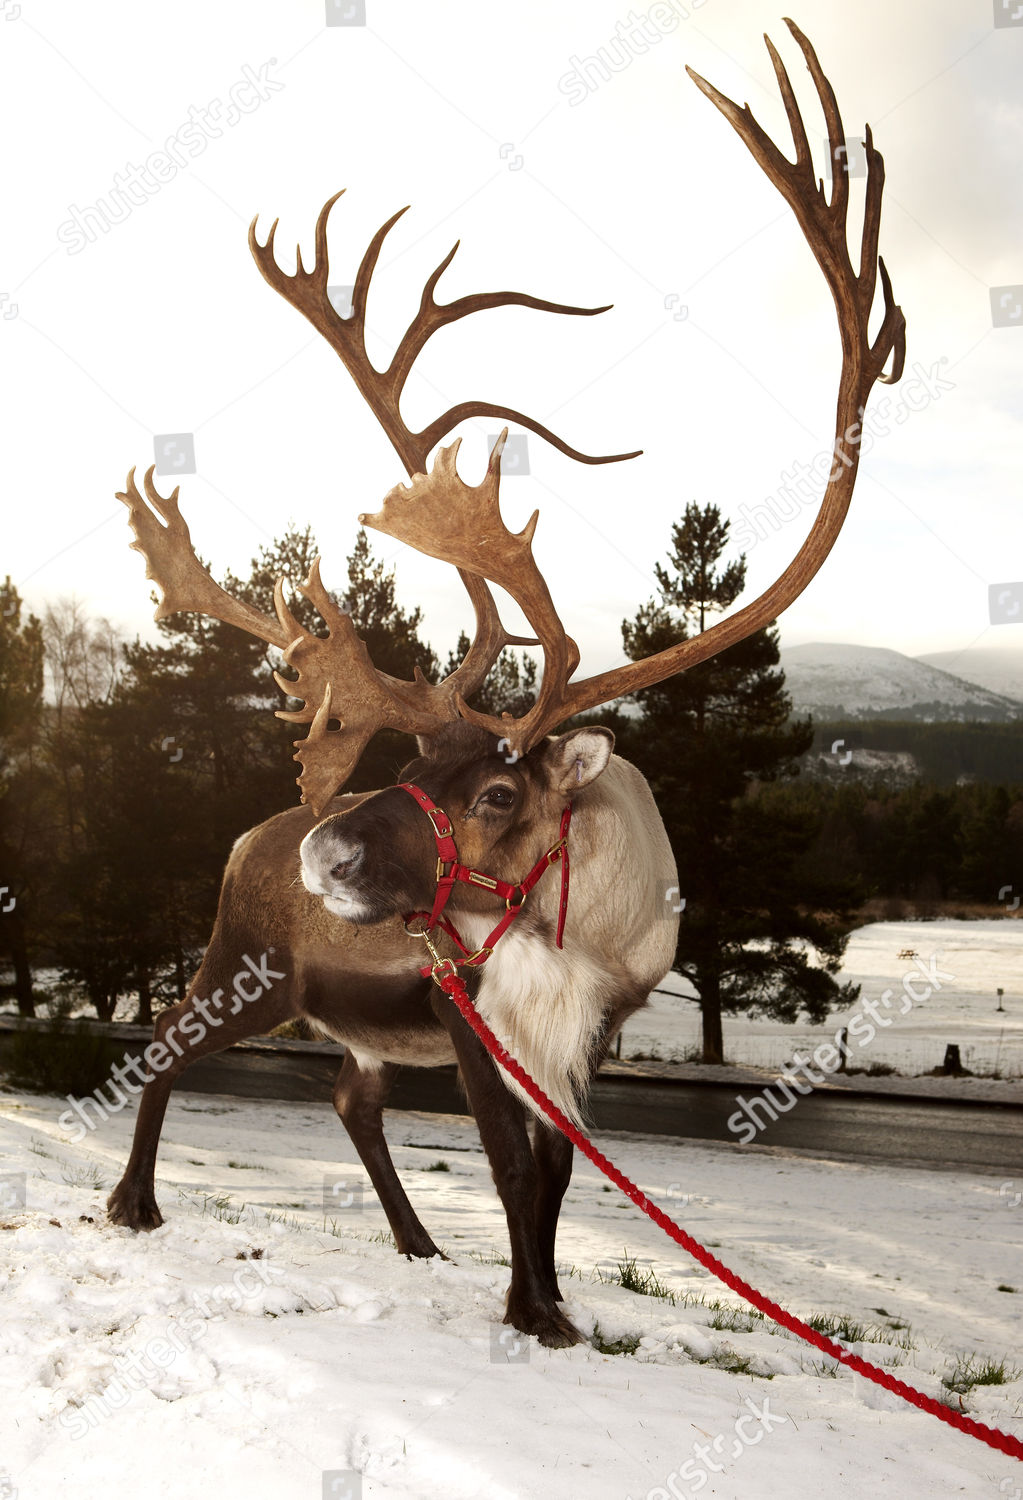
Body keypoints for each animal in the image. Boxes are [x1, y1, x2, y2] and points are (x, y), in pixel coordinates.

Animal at [106, 22, 904, 1349]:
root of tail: (240, 840)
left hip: (340, 1014)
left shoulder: (598, 1027)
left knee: (349, 1095)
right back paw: (132, 1203)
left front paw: (554, 1304)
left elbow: (565, 1169)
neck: (571, 924)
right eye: (411, 761)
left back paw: (417, 1243)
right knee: (166, 1042)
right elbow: (511, 1165)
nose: (327, 850)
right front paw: (535, 1314)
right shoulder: (468, 1012)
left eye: (493, 790)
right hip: (240, 965)